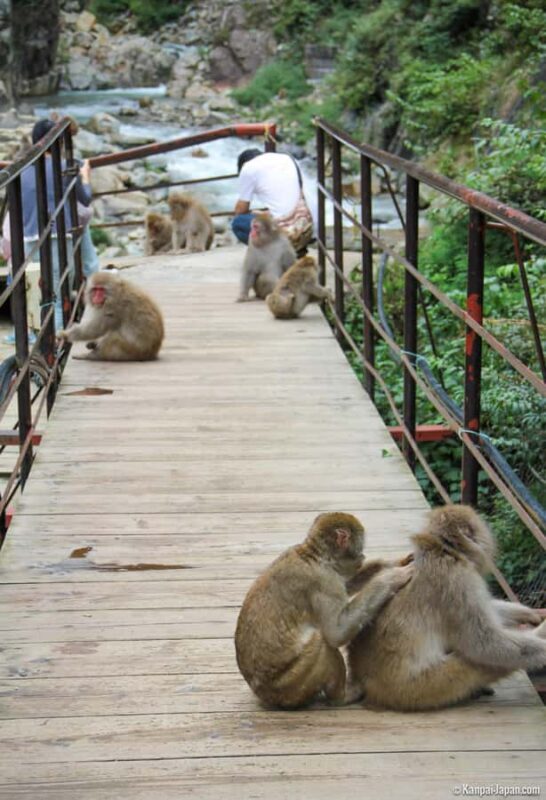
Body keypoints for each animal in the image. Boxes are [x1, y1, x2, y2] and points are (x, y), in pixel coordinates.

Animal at [234, 512, 413, 709]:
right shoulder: (323, 581)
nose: (363, 556)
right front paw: (390, 577)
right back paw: (341, 696)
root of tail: (262, 694)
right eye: (360, 547)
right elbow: (336, 633)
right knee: (321, 642)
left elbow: (347, 585)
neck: (315, 556)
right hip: (290, 684)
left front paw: (392, 563)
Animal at [347, 504, 546, 712]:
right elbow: (483, 643)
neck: (444, 550)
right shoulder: (457, 580)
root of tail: (361, 678)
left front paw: (528, 613)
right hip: (416, 689)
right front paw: (543, 642)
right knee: (476, 662)